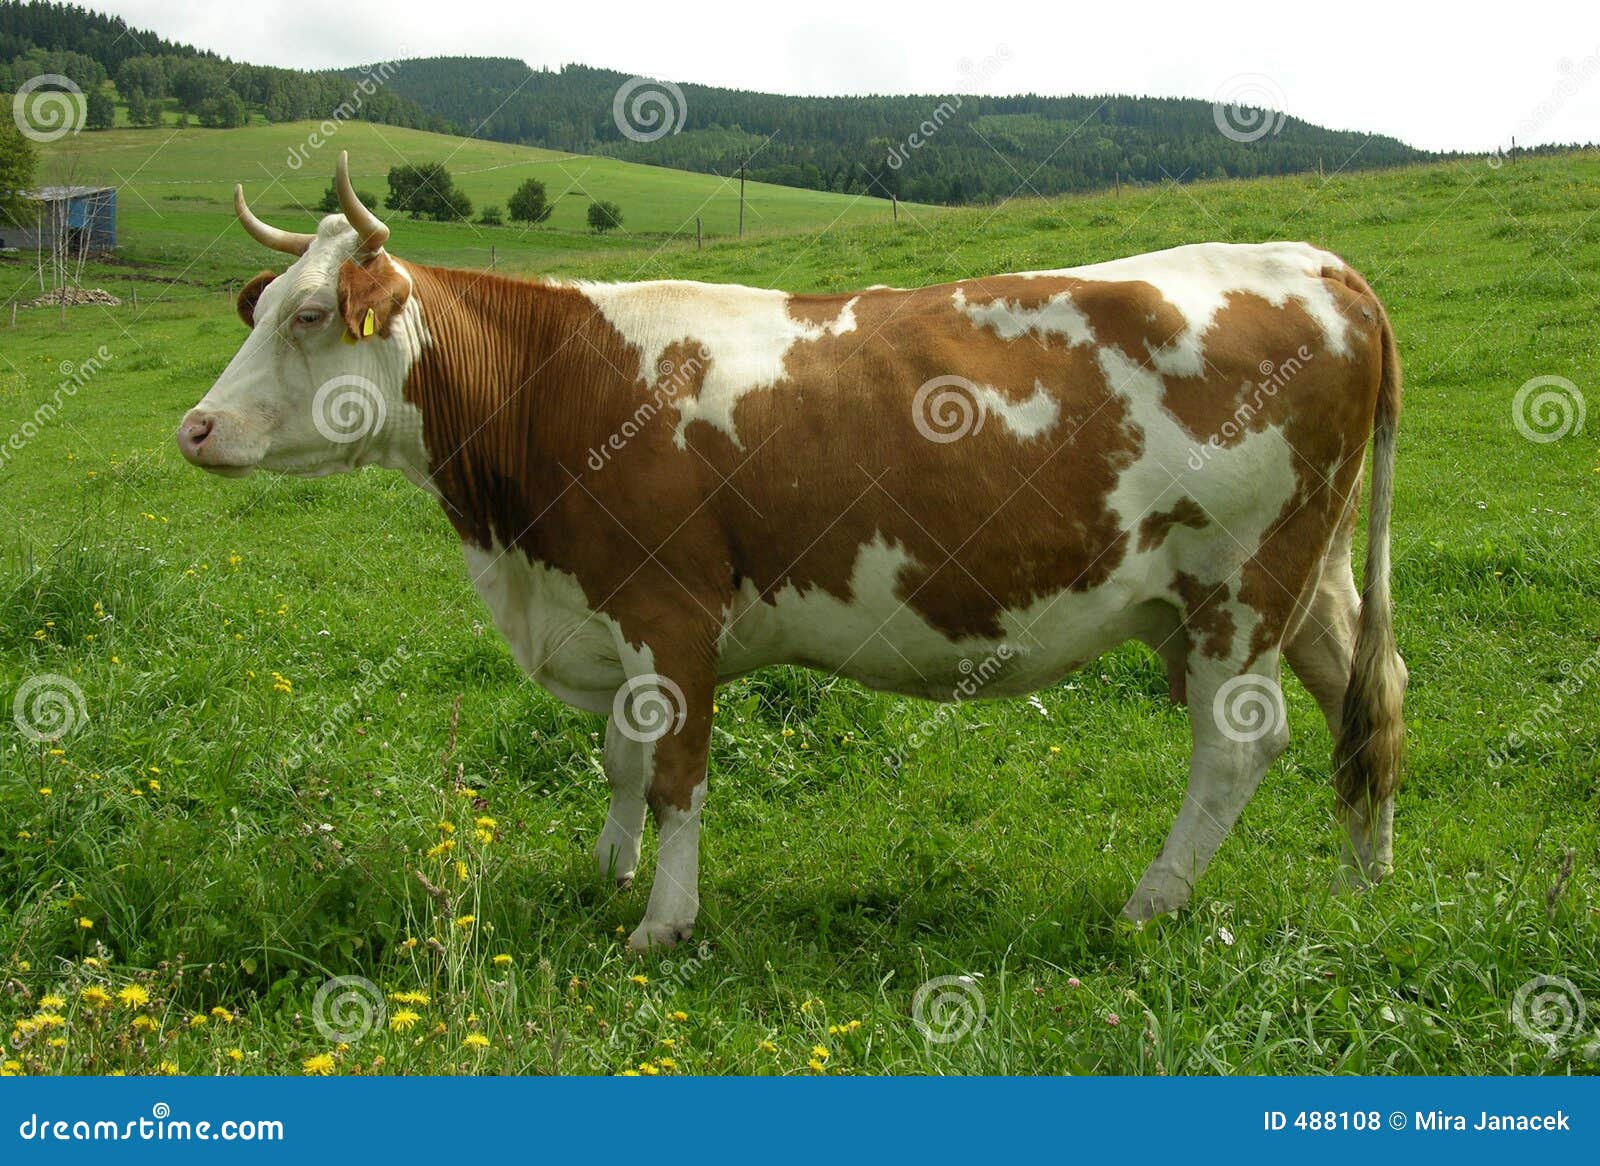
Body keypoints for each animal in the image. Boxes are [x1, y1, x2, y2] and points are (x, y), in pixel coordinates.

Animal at [178, 153, 1406, 951]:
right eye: (261, 307)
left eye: (310, 316)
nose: (196, 427)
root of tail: (1317, 261)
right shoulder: (608, 613)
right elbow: (623, 761)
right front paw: (605, 874)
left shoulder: (668, 608)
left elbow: (675, 771)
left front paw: (661, 923)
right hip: (1314, 580)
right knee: (1370, 697)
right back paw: (1364, 886)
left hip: (1238, 588)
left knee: (1240, 747)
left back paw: (1151, 903)